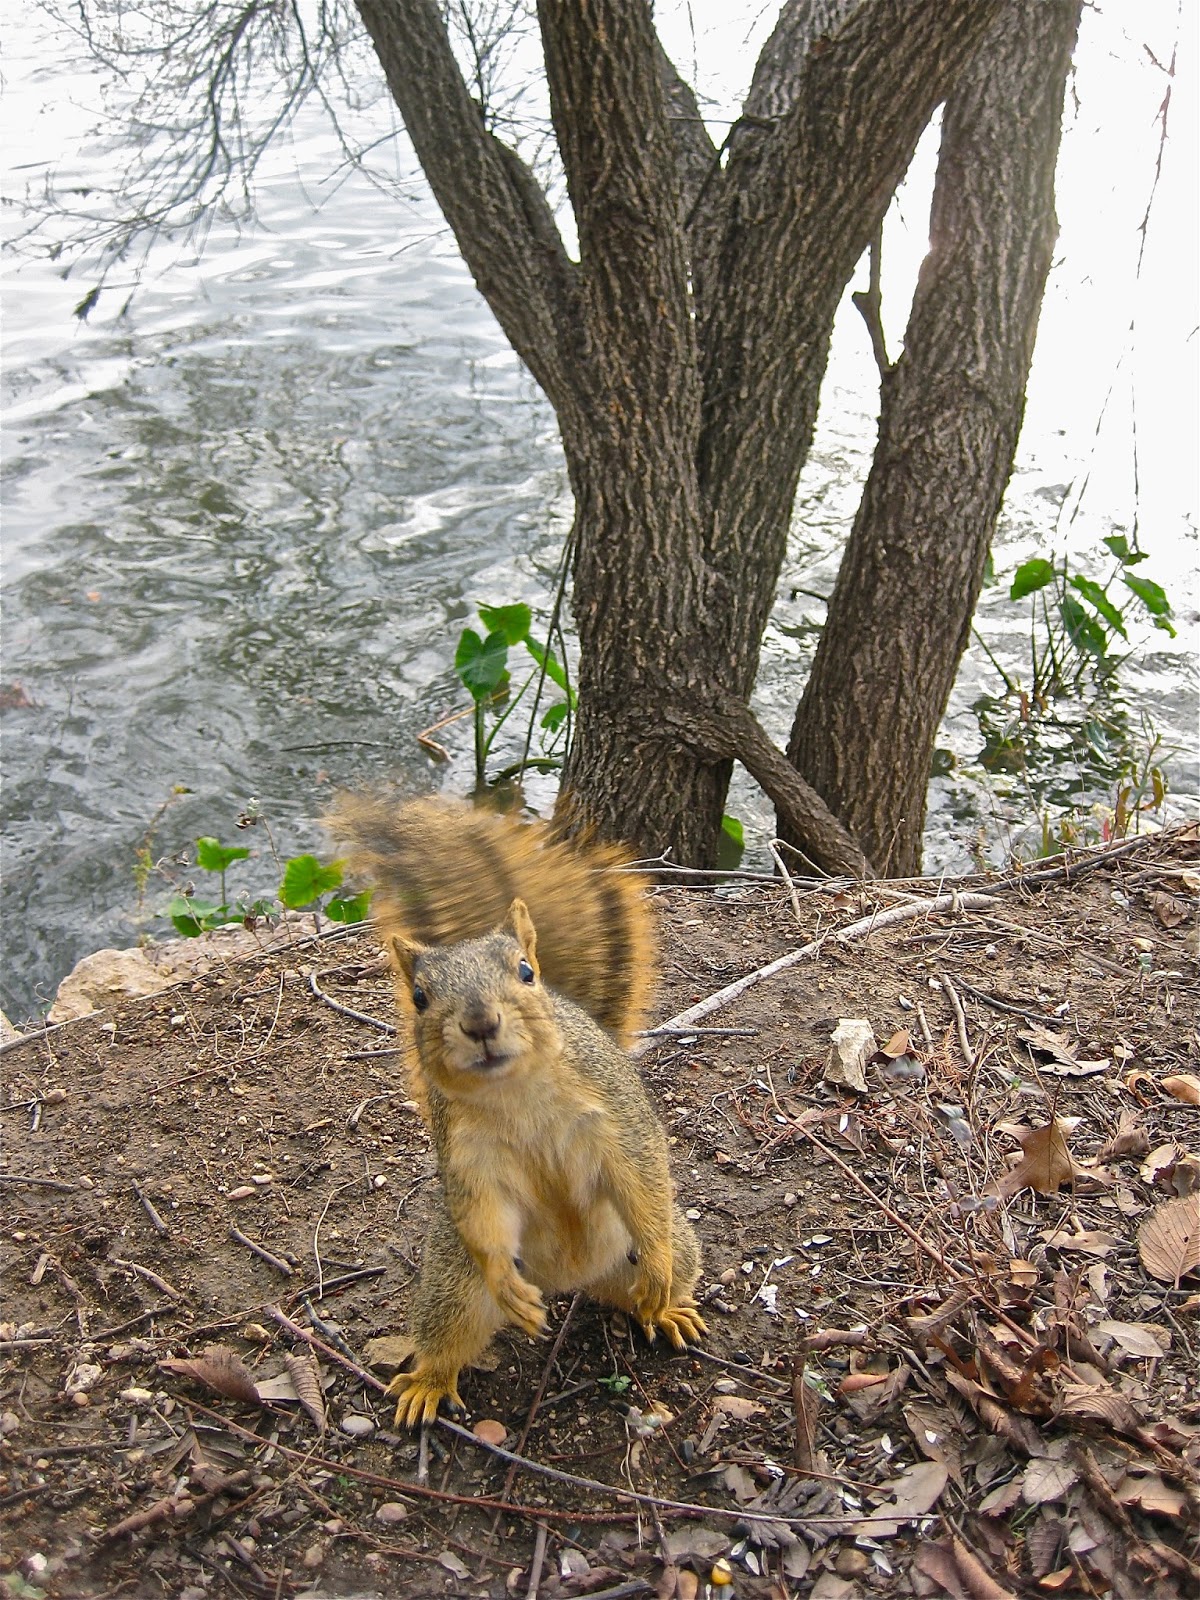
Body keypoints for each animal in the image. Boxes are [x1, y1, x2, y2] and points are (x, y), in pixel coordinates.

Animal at [329, 794, 706, 1428]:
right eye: (419, 998)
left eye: (527, 972)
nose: (481, 1022)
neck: (513, 1091)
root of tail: (574, 1278)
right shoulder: (467, 1156)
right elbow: (484, 1212)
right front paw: (507, 1288)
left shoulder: (615, 1118)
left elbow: (641, 1177)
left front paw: (655, 1266)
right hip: (454, 1283)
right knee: (448, 1331)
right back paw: (429, 1381)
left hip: (668, 1250)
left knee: (655, 1276)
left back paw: (664, 1307)